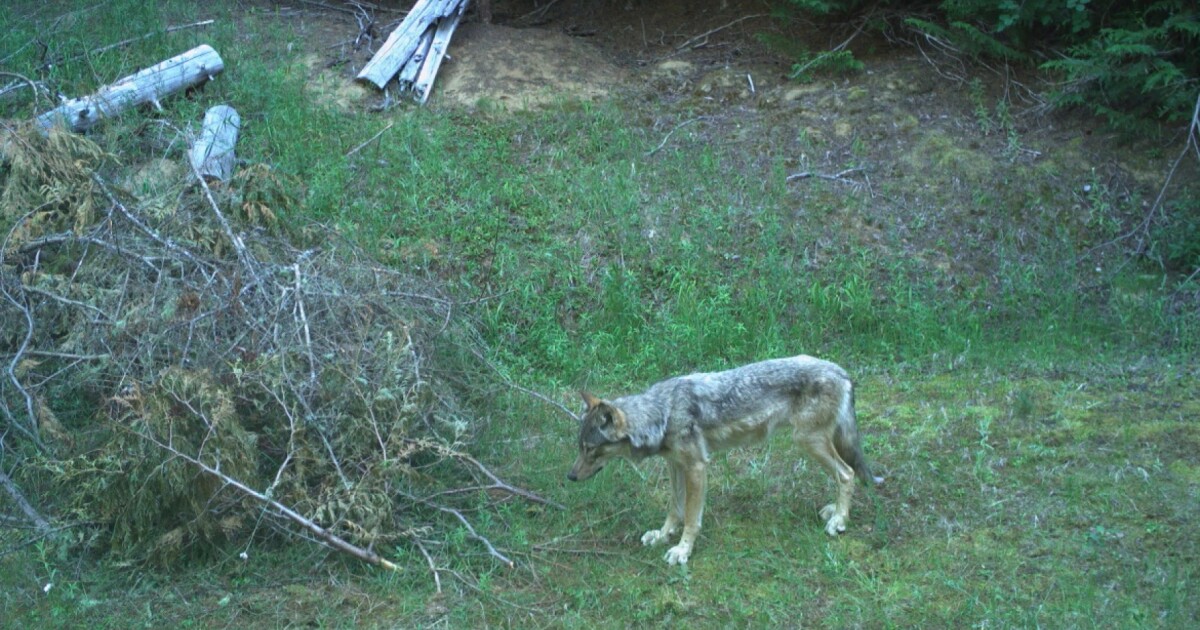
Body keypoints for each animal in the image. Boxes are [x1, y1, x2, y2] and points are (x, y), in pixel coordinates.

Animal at [568, 355, 875, 565]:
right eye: (580, 447)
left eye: (590, 449)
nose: (569, 477)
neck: (663, 413)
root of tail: (841, 371)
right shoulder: (675, 465)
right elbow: (674, 510)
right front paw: (662, 535)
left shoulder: (696, 467)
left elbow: (691, 518)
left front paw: (682, 550)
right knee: (844, 474)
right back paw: (833, 510)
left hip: (807, 441)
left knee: (847, 473)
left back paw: (839, 521)